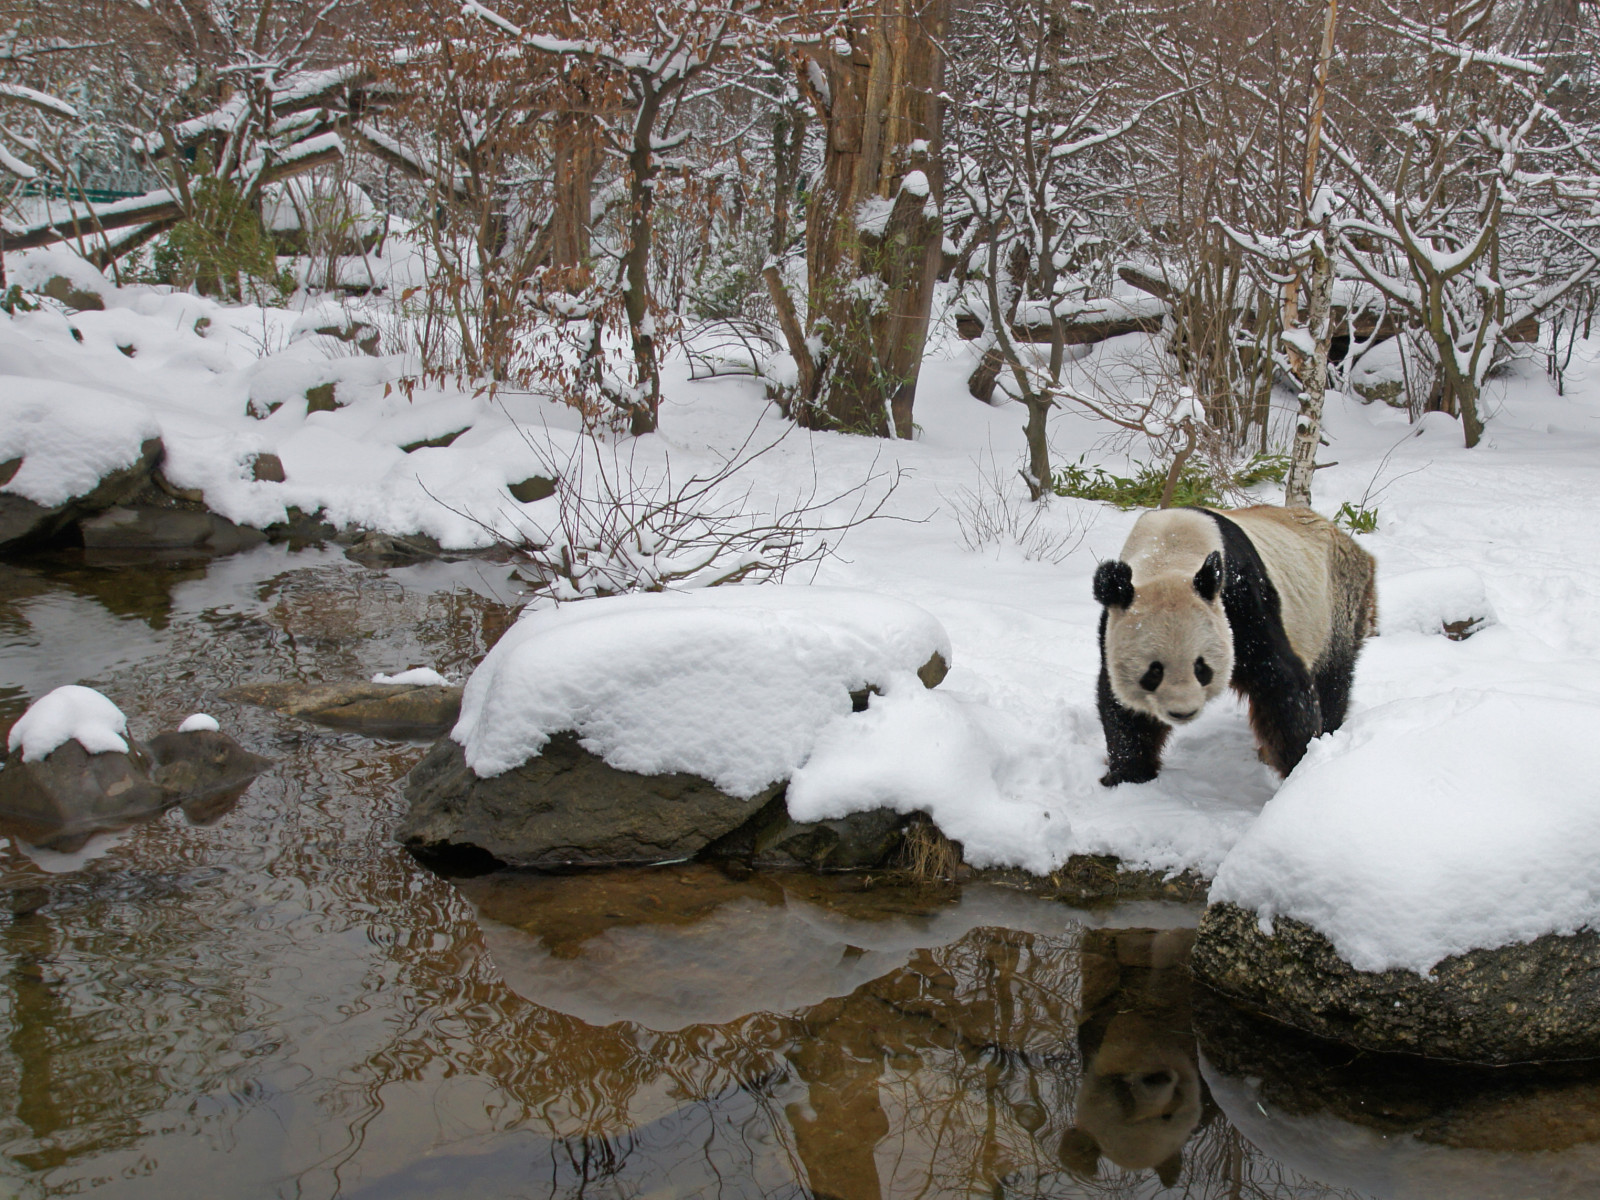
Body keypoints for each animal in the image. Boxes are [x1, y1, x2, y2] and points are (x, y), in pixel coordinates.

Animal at [1092, 505, 1376, 786]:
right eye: (1154, 671)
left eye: (1201, 667)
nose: (1183, 712)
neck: (1168, 553)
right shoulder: (1113, 623)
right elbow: (1120, 704)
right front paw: (1129, 775)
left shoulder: (1242, 599)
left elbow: (1281, 680)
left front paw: (1300, 766)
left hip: (1337, 604)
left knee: (1332, 680)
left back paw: (1327, 733)